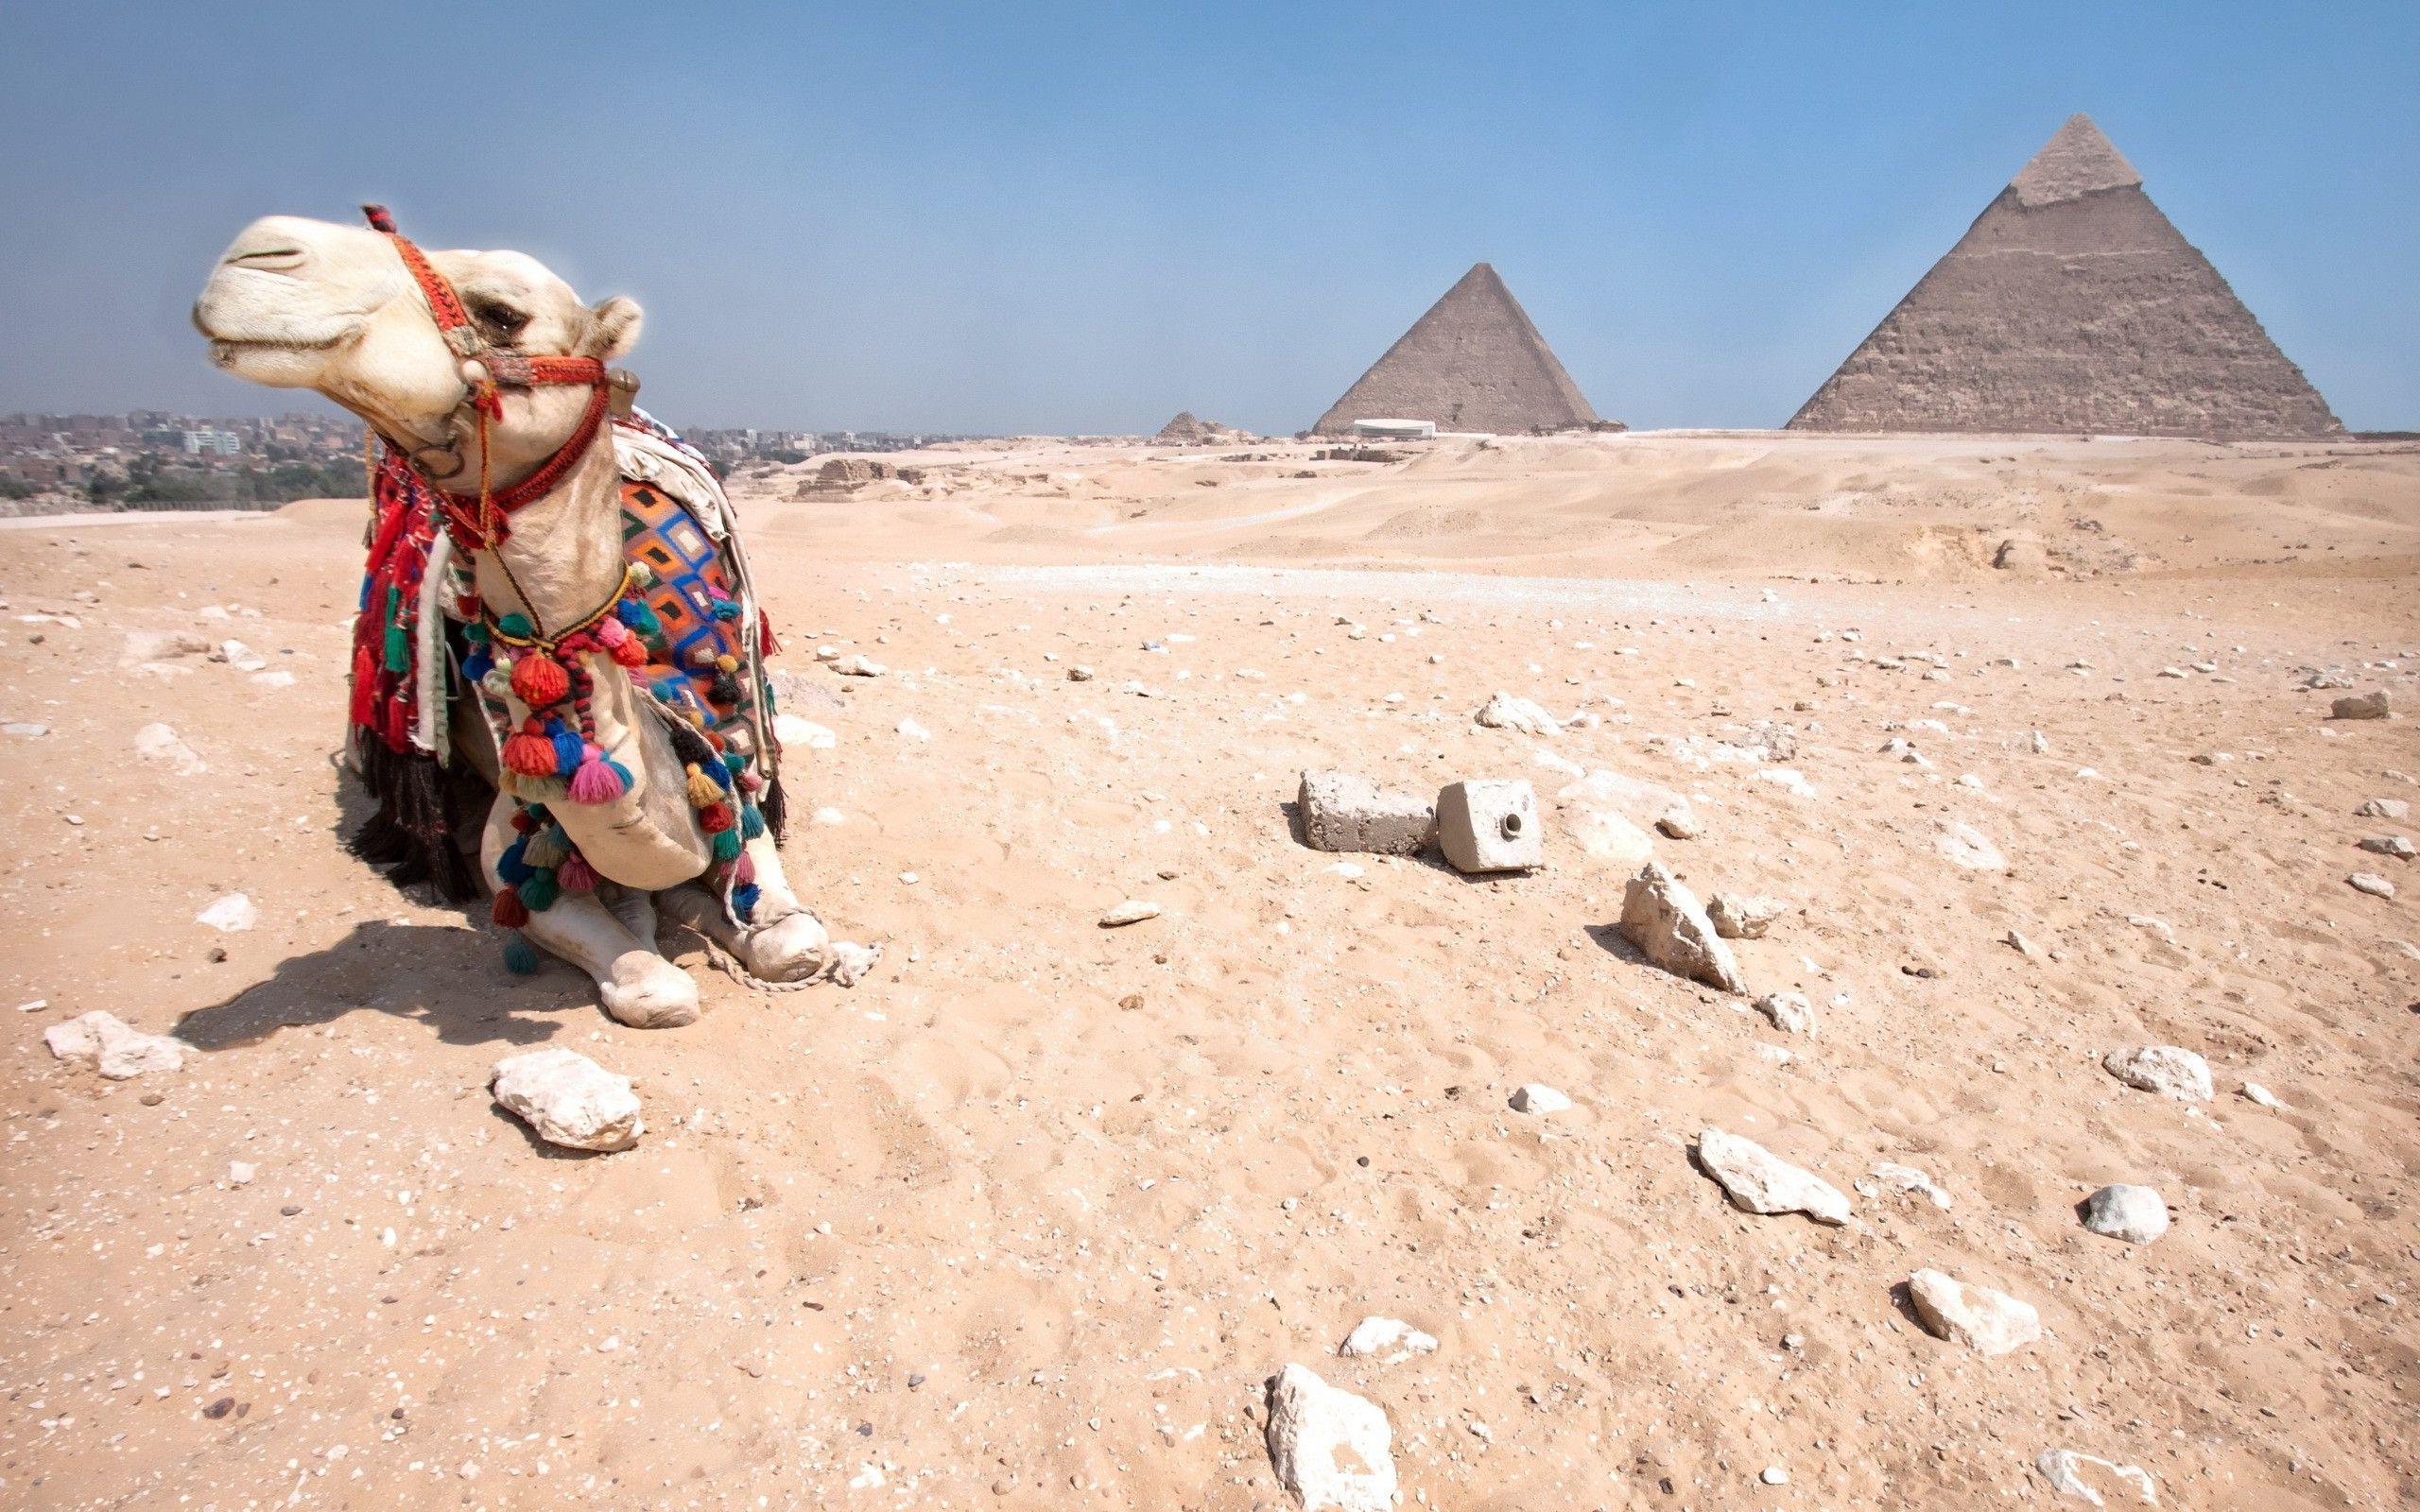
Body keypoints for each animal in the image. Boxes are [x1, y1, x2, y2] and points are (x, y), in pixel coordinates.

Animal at [193, 210, 833, 1027]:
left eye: (503, 314)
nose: (262, 251)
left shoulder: (735, 769)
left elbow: (794, 941)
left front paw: (704, 909)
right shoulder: (518, 842)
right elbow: (651, 984)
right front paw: (646, 920)